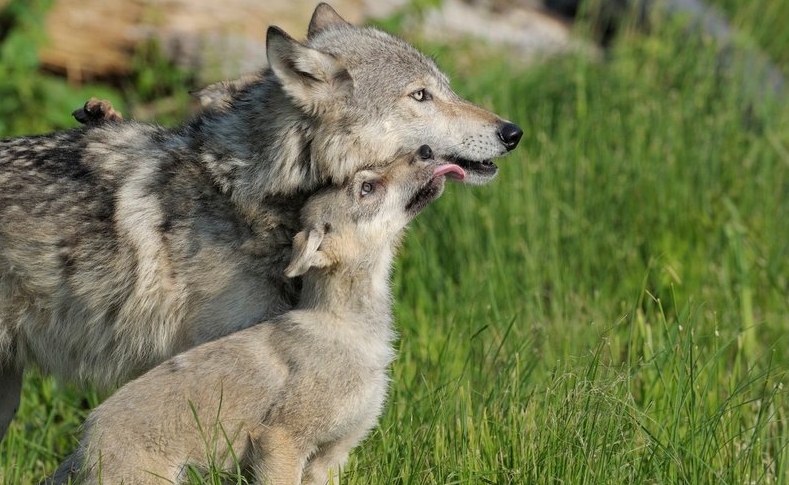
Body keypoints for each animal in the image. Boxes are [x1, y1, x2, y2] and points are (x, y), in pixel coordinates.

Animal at [44, 146, 464, 485]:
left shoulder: (331, 457)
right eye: (367, 188)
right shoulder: (280, 442)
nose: (426, 150)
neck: (348, 328)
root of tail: (83, 447)